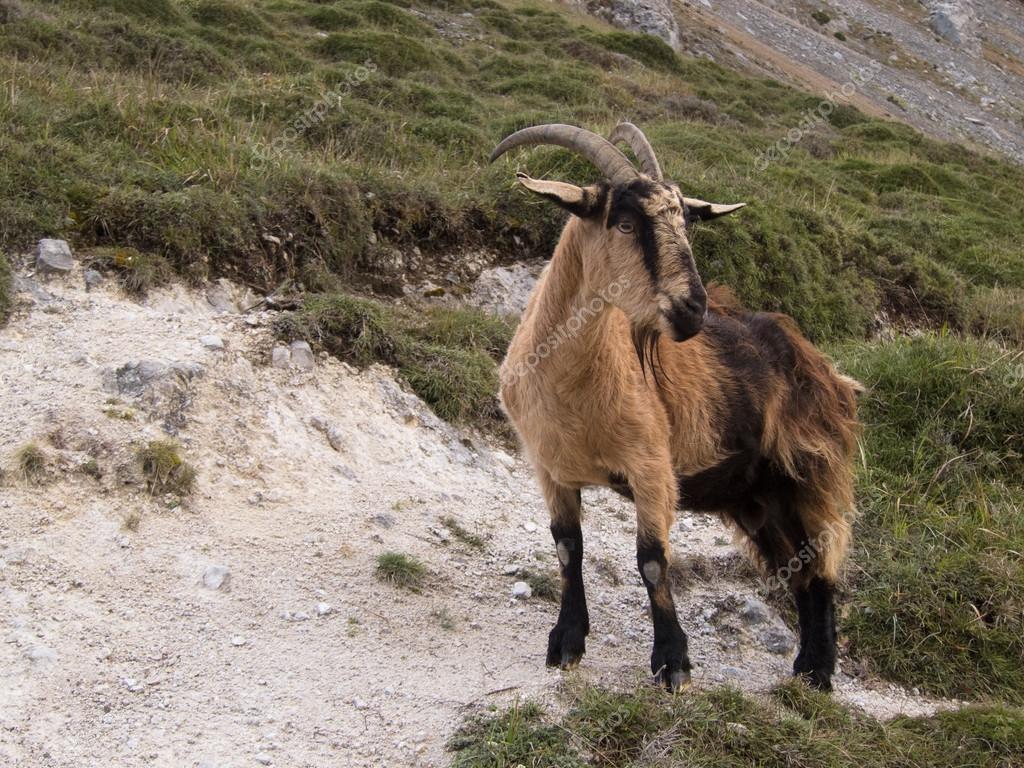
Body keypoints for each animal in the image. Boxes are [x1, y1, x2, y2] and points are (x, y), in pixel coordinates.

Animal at [490, 123, 860, 692]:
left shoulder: (652, 467)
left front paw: (673, 663)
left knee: (820, 564)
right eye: (624, 223)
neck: (573, 389)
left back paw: (818, 673)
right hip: (758, 498)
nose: (692, 310)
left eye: (686, 223)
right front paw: (566, 643)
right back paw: (805, 668)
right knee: (798, 568)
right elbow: (567, 548)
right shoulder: (550, 468)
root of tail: (826, 370)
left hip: (809, 472)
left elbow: (652, 561)